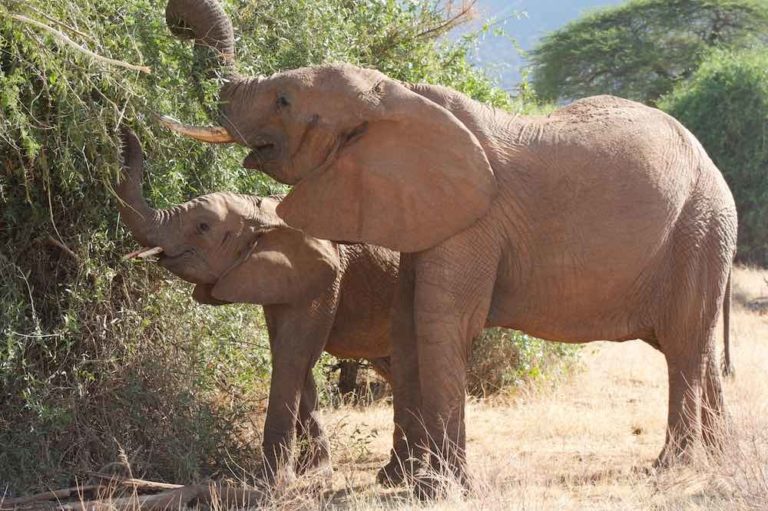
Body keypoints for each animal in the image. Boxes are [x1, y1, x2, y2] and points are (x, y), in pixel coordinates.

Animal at [116, 128, 403, 484]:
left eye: (203, 227)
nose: (124, 130)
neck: (266, 213)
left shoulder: (324, 277)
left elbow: (293, 355)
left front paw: (274, 484)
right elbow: (289, 356)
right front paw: (315, 475)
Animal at [157, 0, 738, 495]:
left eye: (284, 101)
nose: (173, 19)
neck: (397, 96)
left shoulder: (472, 223)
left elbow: (440, 322)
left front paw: (436, 488)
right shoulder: (422, 214)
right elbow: (406, 325)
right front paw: (404, 482)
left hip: (700, 226)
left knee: (684, 343)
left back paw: (674, 468)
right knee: (698, 342)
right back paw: (720, 458)